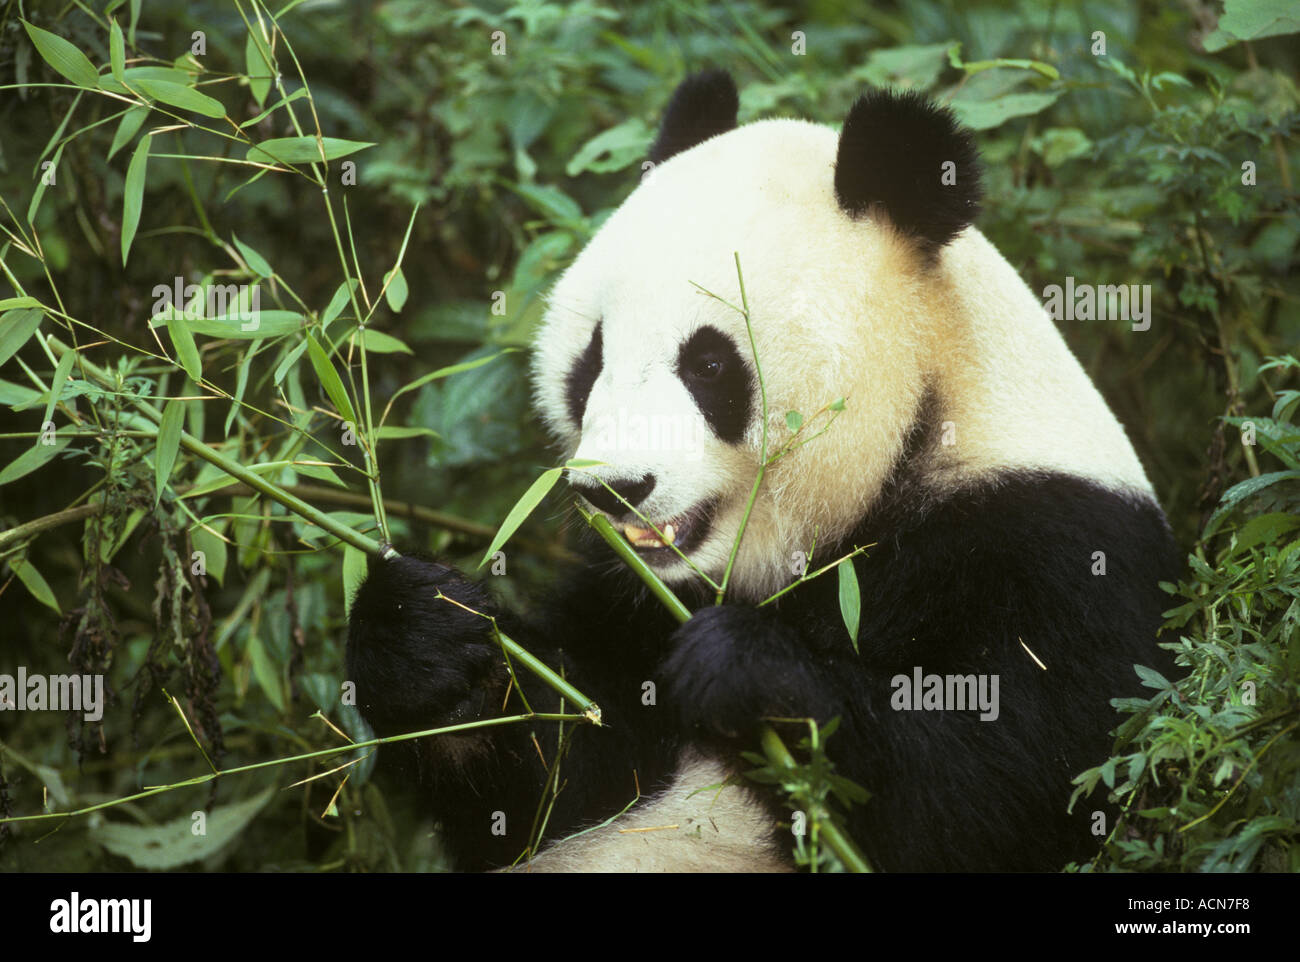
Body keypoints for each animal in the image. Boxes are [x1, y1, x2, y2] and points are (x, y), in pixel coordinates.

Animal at [346, 71, 1179, 872]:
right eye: (593, 358)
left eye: (709, 364)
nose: (616, 488)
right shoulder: (629, 596)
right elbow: (558, 775)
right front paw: (423, 634)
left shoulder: (1053, 549)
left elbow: (1005, 787)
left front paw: (744, 669)